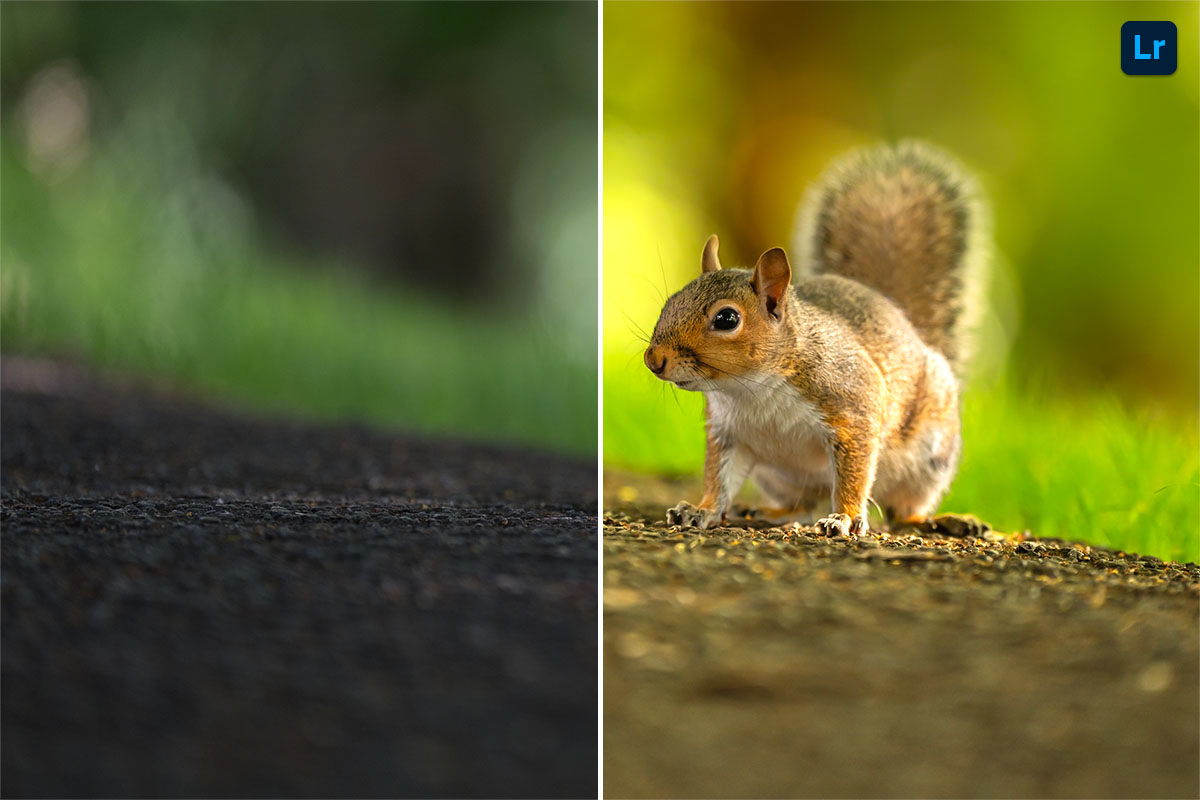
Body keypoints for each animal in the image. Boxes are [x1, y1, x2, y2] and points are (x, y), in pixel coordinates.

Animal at [642, 141, 988, 536]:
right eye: (671, 302)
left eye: (726, 318)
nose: (653, 359)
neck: (753, 388)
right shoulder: (727, 433)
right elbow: (719, 480)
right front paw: (700, 510)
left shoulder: (853, 406)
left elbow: (854, 474)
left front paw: (846, 517)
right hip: (780, 477)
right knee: (805, 504)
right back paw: (769, 511)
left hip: (930, 458)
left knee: (902, 511)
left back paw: (943, 520)